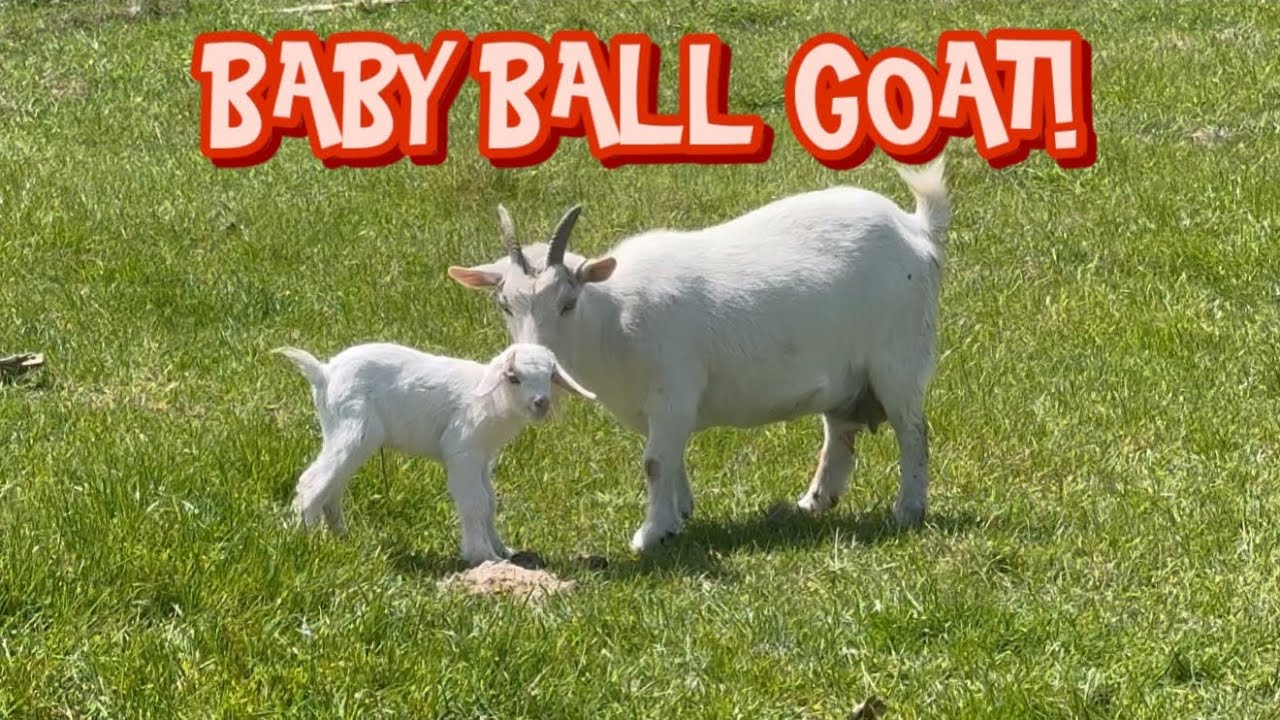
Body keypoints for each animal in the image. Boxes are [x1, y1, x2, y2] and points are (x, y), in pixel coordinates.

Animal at [274, 342, 596, 566]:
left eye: (550, 375)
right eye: (513, 377)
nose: (541, 403)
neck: (493, 400)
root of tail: (324, 373)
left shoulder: (483, 457)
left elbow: (490, 502)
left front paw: (503, 549)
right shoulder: (463, 451)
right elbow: (475, 502)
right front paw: (483, 555)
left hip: (342, 431)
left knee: (333, 482)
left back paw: (340, 534)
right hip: (354, 427)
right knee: (314, 479)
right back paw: (308, 536)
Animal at [448, 161, 950, 552]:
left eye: (568, 302)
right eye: (504, 304)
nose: (530, 362)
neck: (614, 318)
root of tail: (915, 227)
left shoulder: (673, 390)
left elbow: (653, 463)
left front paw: (649, 535)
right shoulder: (662, 407)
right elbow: (670, 459)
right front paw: (676, 518)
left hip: (898, 359)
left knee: (913, 431)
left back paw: (908, 509)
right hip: (846, 374)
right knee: (840, 432)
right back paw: (813, 502)